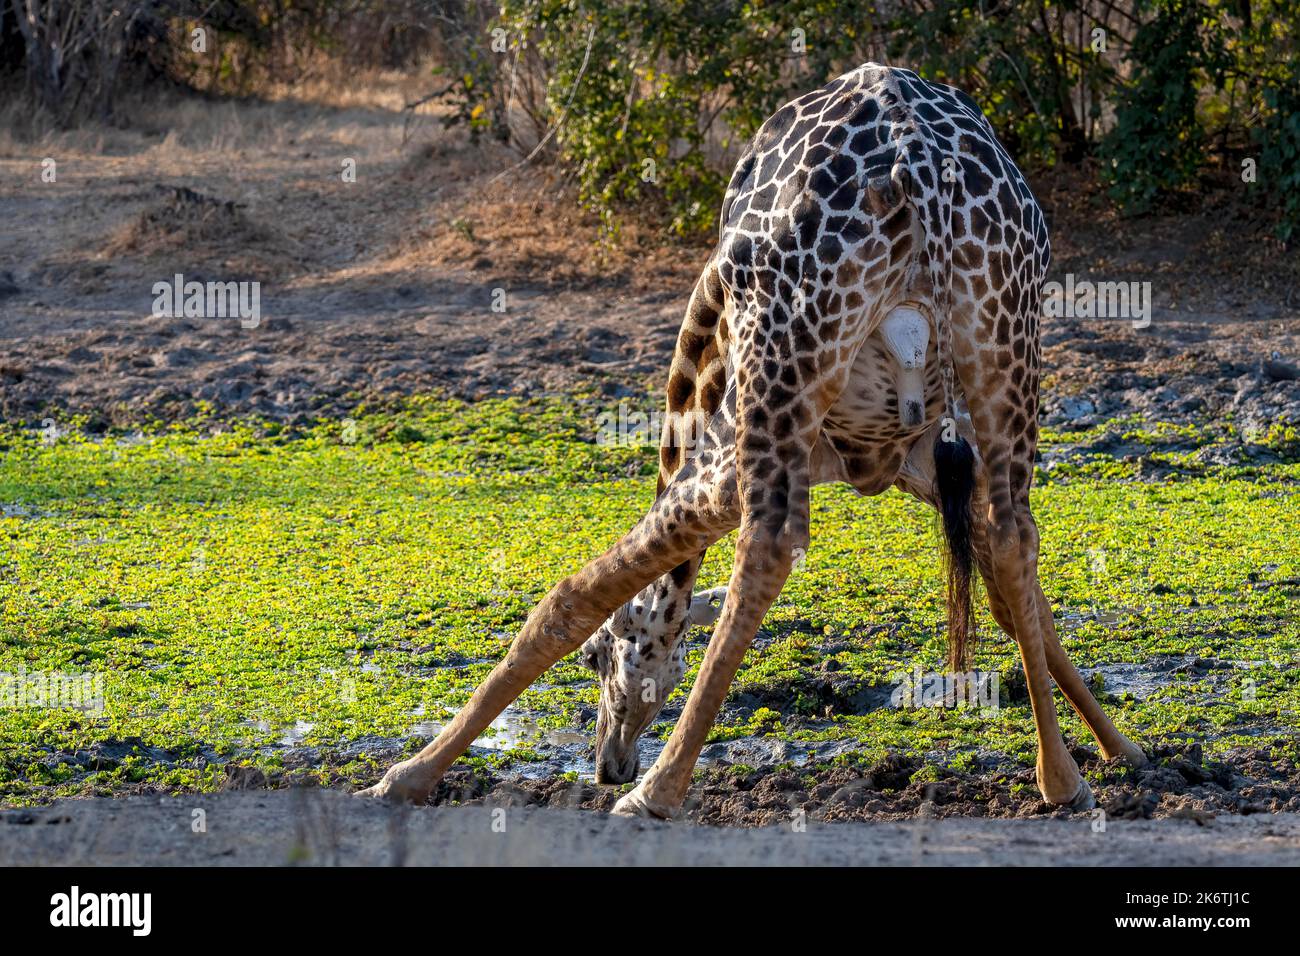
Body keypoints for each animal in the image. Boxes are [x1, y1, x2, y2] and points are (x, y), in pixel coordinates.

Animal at [358, 62, 1148, 817]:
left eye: (601, 661)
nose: (610, 762)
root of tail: (916, 163)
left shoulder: (719, 466)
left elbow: (574, 594)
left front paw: (403, 777)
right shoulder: (920, 462)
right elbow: (1022, 601)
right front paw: (1119, 750)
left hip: (785, 370)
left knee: (769, 543)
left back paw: (659, 794)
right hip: (1002, 347)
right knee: (1017, 530)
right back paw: (1059, 781)